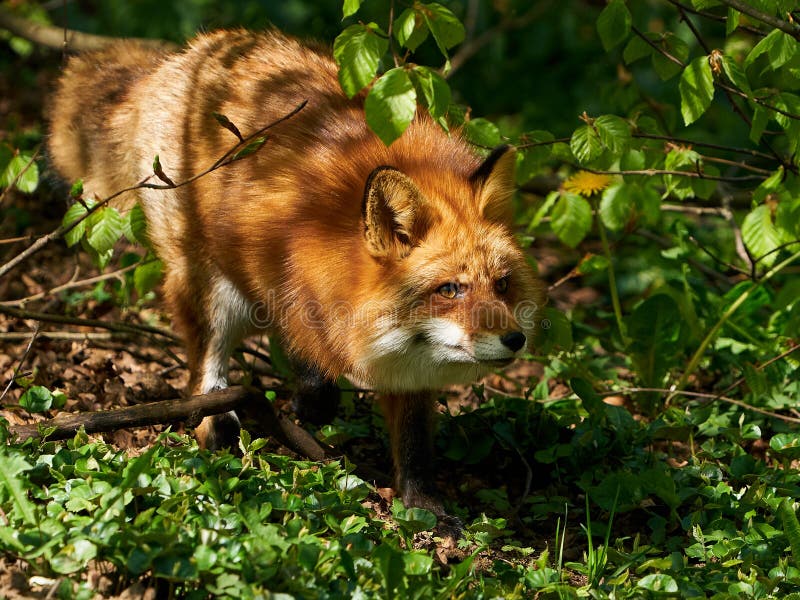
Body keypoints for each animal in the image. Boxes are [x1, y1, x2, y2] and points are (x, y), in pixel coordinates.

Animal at [48, 29, 546, 517]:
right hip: (208, 285)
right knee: (205, 370)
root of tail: (186, 55)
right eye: (450, 289)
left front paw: (425, 508)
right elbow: (309, 361)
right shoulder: (277, 268)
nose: (514, 340)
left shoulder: (413, 366)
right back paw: (218, 431)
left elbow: (414, 442)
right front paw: (307, 406)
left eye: (502, 285)